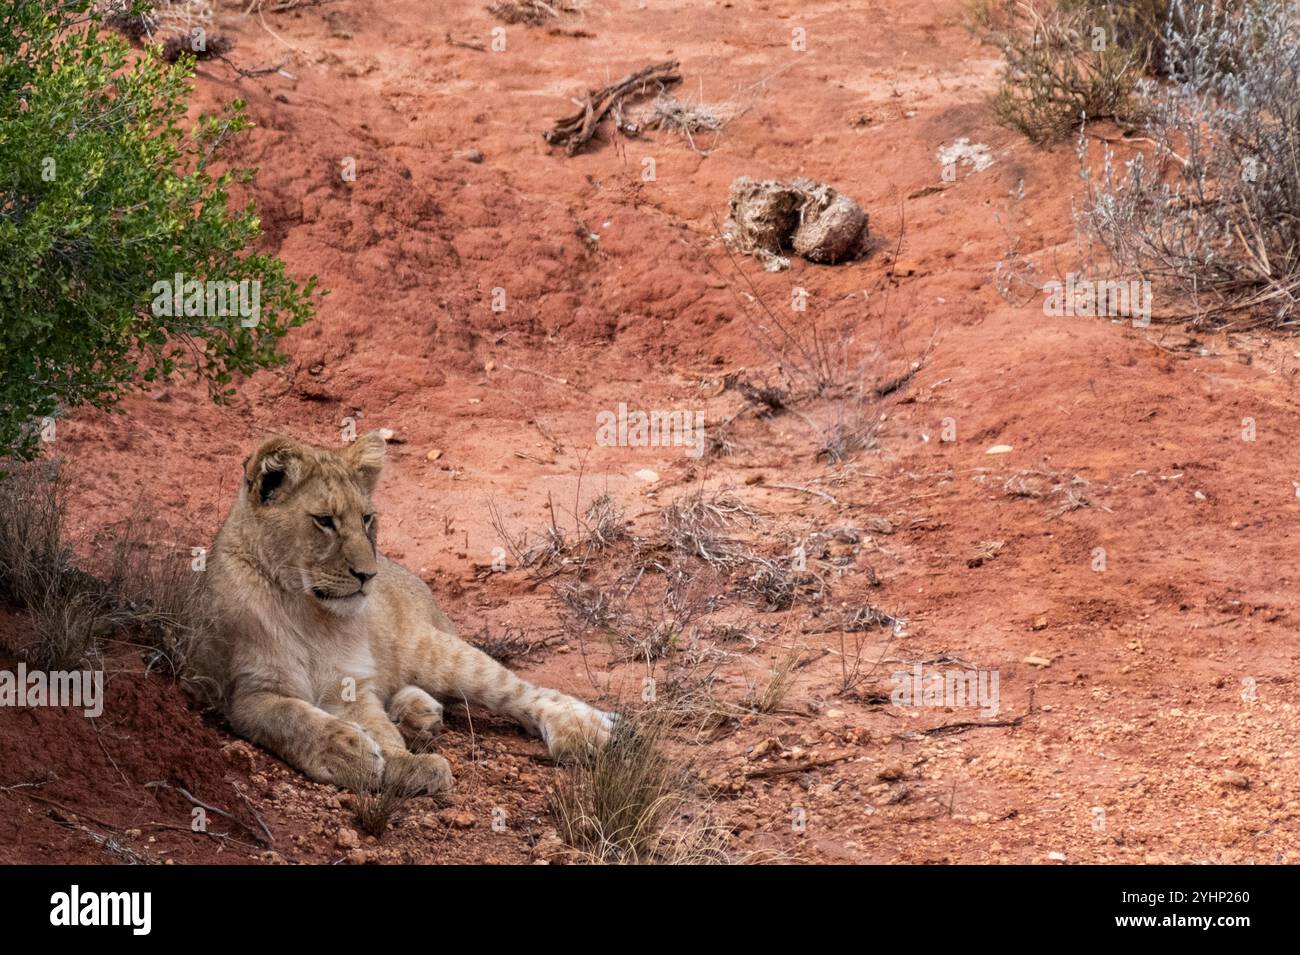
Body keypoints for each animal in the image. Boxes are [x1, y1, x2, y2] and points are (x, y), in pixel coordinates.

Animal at [201, 430, 613, 795]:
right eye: (324, 521)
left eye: (366, 518)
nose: (368, 575)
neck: (310, 612)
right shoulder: (246, 692)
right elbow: (292, 717)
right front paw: (346, 751)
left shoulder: (350, 684)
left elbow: (377, 726)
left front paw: (403, 764)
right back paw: (419, 714)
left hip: (435, 650)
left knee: (520, 691)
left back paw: (589, 731)